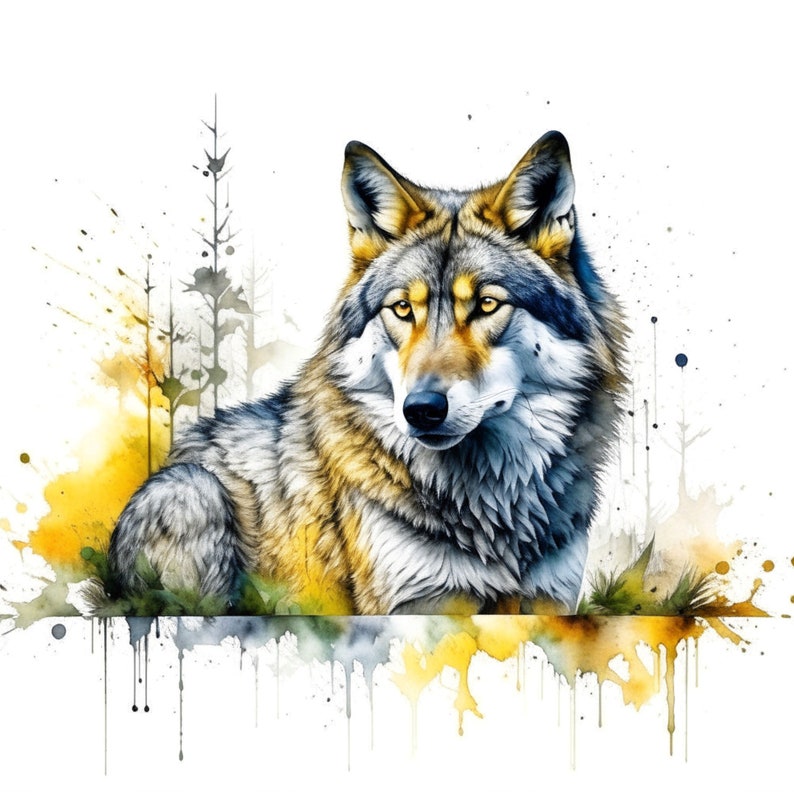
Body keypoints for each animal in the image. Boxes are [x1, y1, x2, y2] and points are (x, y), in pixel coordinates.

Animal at [107, 131, 627, 615]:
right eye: (402, 309)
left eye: (485, 305)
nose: (422, 410)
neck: (492, 504)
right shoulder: (415, 605)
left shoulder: (548, 601)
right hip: (192, 492)